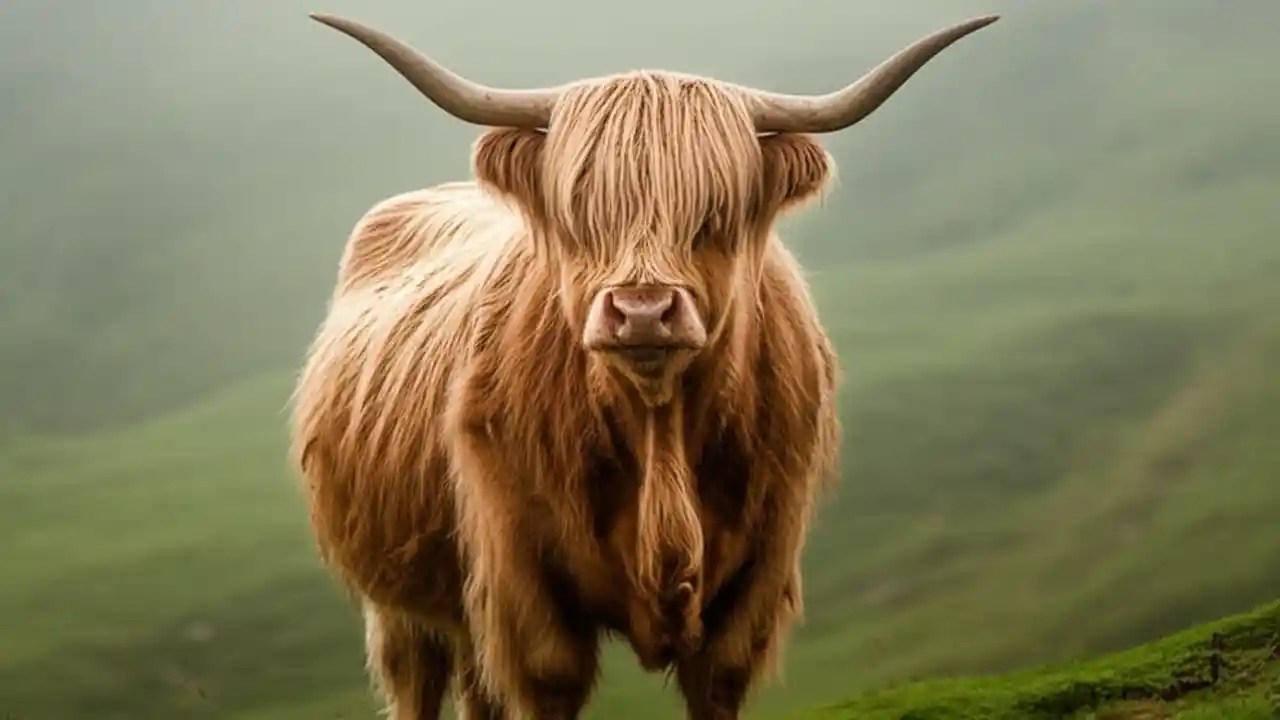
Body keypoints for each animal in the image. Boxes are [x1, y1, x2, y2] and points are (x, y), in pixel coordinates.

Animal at [291, 12, 997, 720]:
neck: (659, 433)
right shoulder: (521, 580)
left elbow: (717, 680)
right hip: (397, 603)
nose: (642, 312)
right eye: (580, 214)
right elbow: (549, 677)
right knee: (418, 679)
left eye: (714, 214)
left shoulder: (758, 572)